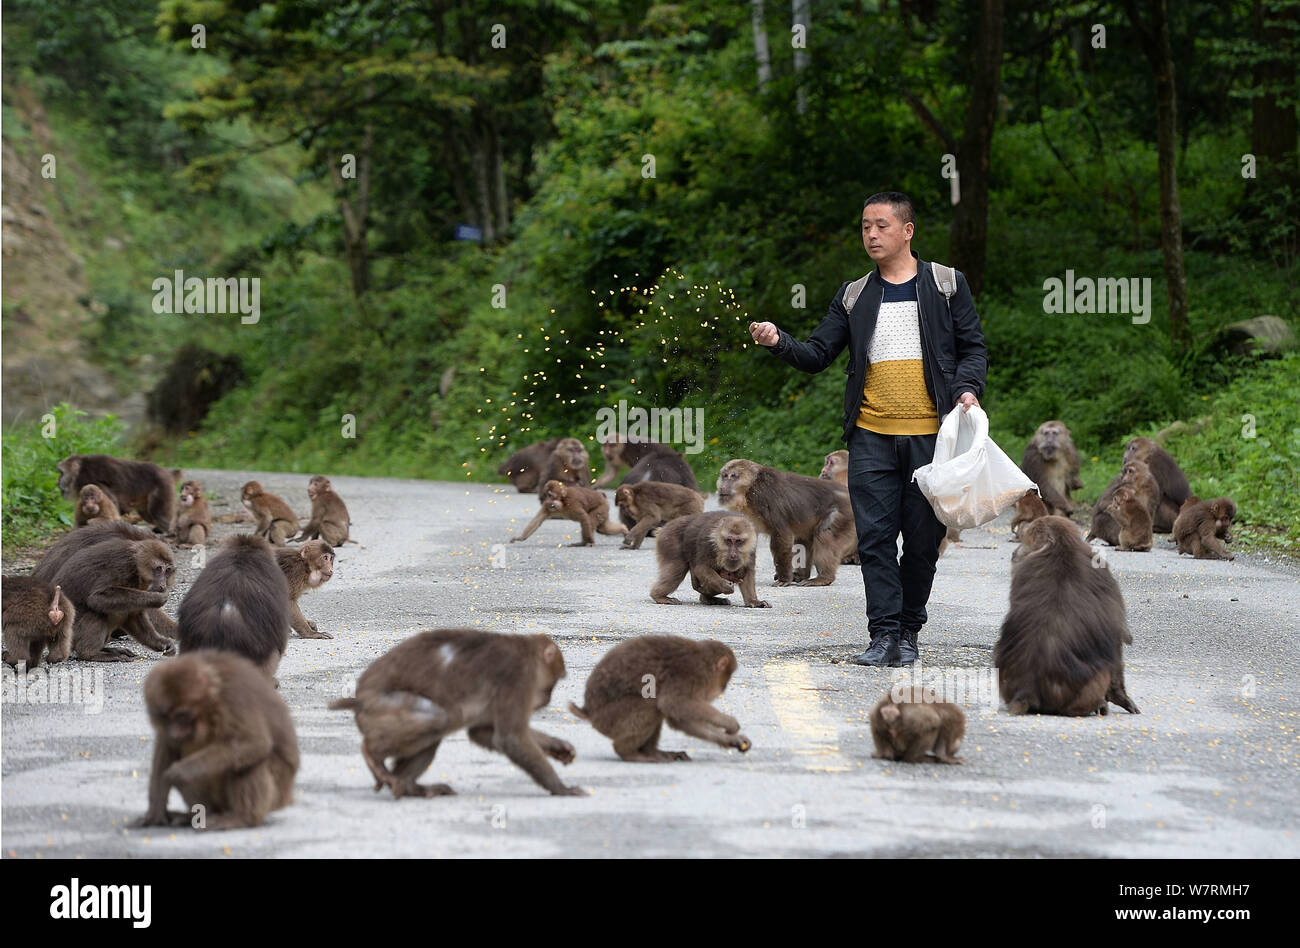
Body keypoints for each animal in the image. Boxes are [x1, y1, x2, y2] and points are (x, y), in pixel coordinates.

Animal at [134, 650, 299, 830]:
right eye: (164, 717)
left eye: (182, 715)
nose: (175, 732)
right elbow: (167, 750)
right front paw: (155, 812)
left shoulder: (233, 697)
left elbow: (254, 742)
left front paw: (183, 771)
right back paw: (198, 815)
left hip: (277, 794)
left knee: (251, 762)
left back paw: (242, 818)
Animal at [329, 628, 584, 797]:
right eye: (553, 682)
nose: (547, 699)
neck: (526, 652)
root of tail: (360, 697)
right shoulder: (518, 675)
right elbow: (510, 738)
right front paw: (561, 788)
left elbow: (484, 733)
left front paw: (558, 747)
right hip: (384, 706)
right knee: (441, 718)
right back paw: (373, 756)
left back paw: (410, 787)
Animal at [569, 636, 751, 762]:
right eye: (726, 678)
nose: (723, 688)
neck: (704, 664)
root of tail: (588, 711)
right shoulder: (689, 676)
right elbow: (673, 704)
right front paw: (730, 723)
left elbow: (678, 718)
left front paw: (731, 739)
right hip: (609, 719)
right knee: (649, 705)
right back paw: (628, 753)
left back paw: (653, 752)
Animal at [716, 458, 856, 586]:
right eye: (724, 476)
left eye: (733, 476)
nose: (722, 486)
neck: (749, 489)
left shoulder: (763, 496)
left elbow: (782, 536)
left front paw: (783, 579)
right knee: (804, 539)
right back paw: (800, 576)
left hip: (844, 514)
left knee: (824, 535)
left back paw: (824, 578)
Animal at [994, 516, 1140, 716]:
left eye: (1024, 540)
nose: (1015, 554)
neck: (1061, 547)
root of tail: (1026, 690)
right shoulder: (1102, 571)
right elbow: (1116, 642)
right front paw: (1121, 698)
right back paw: (1098, 705)